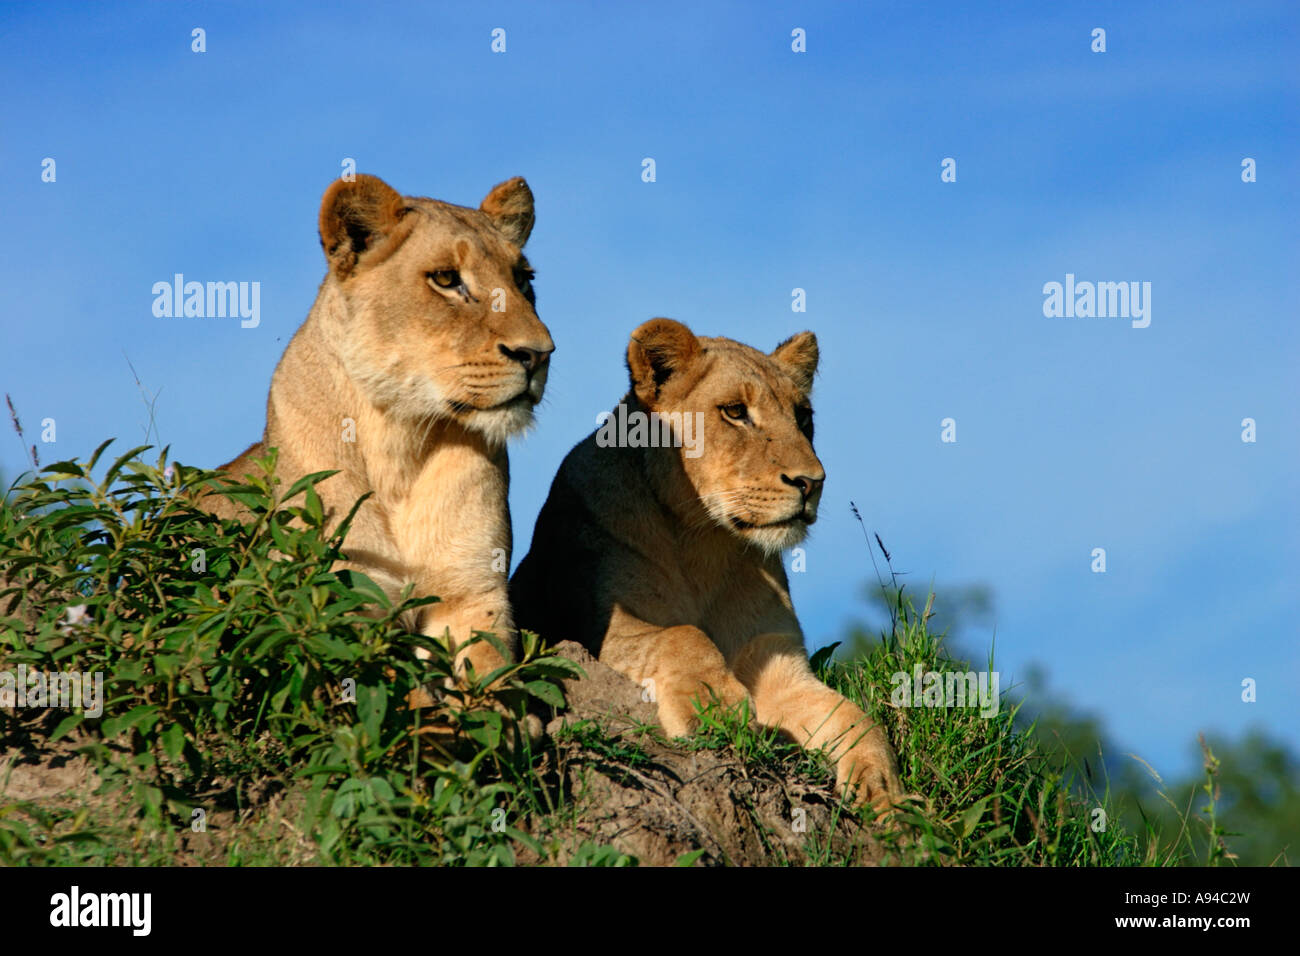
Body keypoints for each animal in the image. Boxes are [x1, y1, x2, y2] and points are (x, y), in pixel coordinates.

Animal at [203, 173, 553, 678]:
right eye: (446, 279)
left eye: (523, 280)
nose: (539, 354)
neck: (401, 443)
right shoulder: (341, 600)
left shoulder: (473, 594)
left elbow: (488, 678)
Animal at [510, 318, 903, 811]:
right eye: (735, 411)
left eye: (803, 417)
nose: (812, 483)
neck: (706, 543)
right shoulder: (609, 629)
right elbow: (682, 635)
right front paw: (713, 706)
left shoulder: (779, 663)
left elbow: (857, 719)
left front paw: (886, 796)